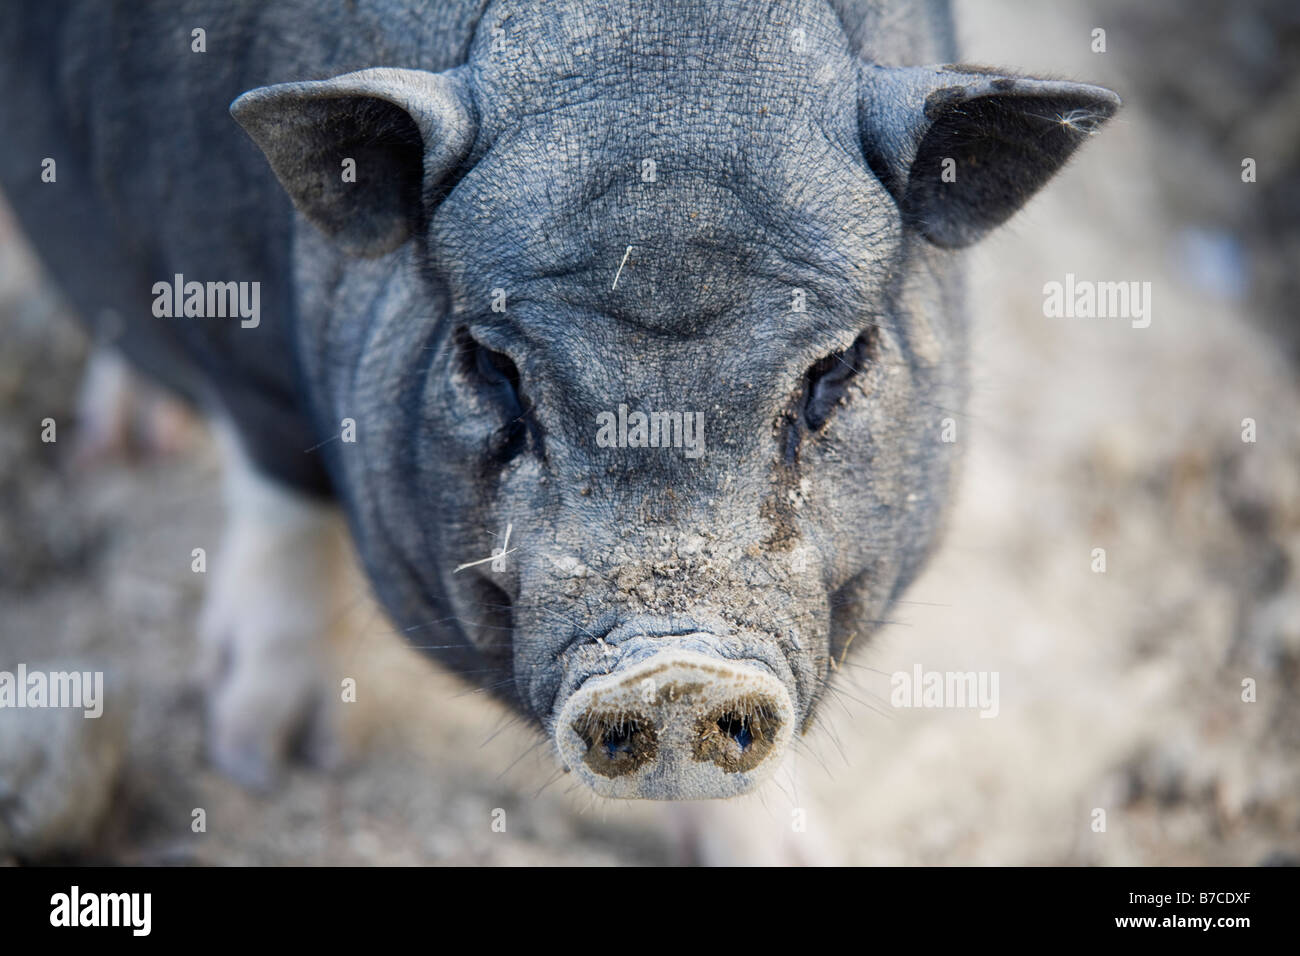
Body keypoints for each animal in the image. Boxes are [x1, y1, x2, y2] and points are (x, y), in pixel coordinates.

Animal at [0, 0, 1118, 808]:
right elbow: (283, 485)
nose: (676, 672)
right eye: (491, 363)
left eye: (836, 366)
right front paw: (257, 764)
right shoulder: (224, 301)